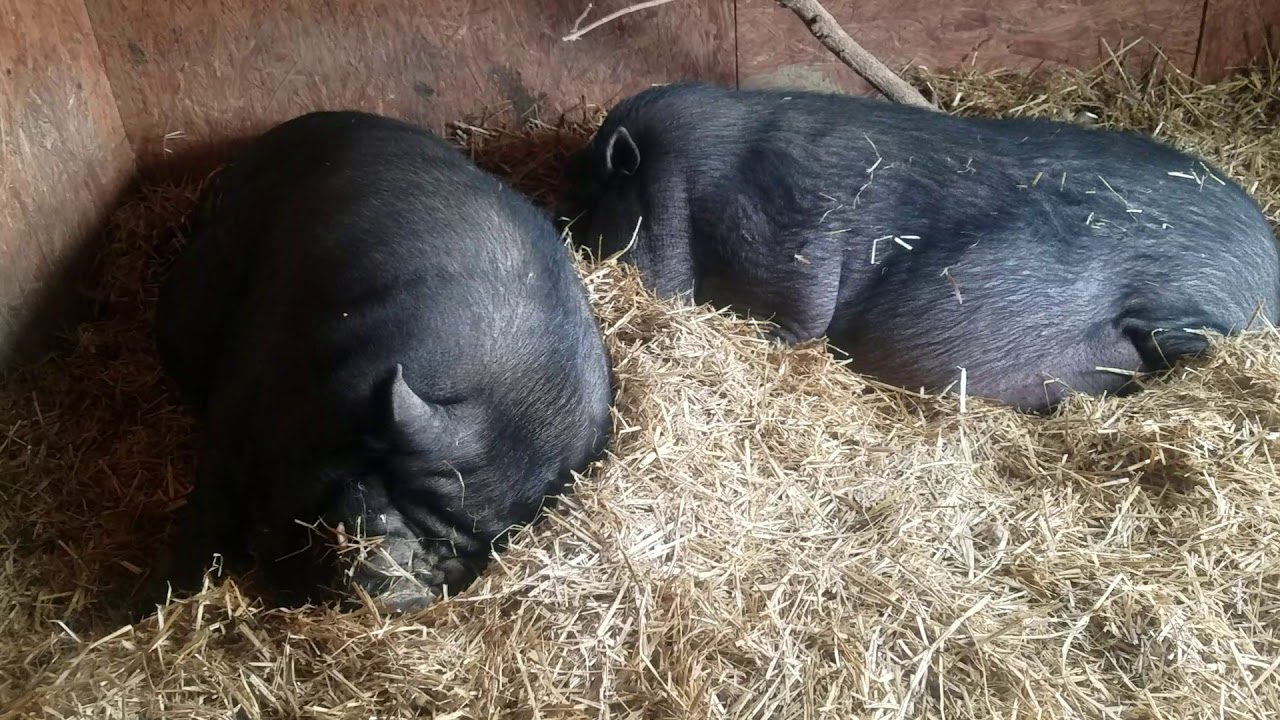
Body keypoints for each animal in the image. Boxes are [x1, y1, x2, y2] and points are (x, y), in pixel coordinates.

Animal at [148, 110, 614, 612]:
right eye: (397, 491)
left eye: (475, 551)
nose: (405, 588)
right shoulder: (239, 388)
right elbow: (211, 507)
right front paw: (160, 597)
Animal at [560, 82, 1280, 412]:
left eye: (594, 199)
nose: (571, 238)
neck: (694, 184)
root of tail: (1266, 270)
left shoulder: (789, 238)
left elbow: (802, 314)